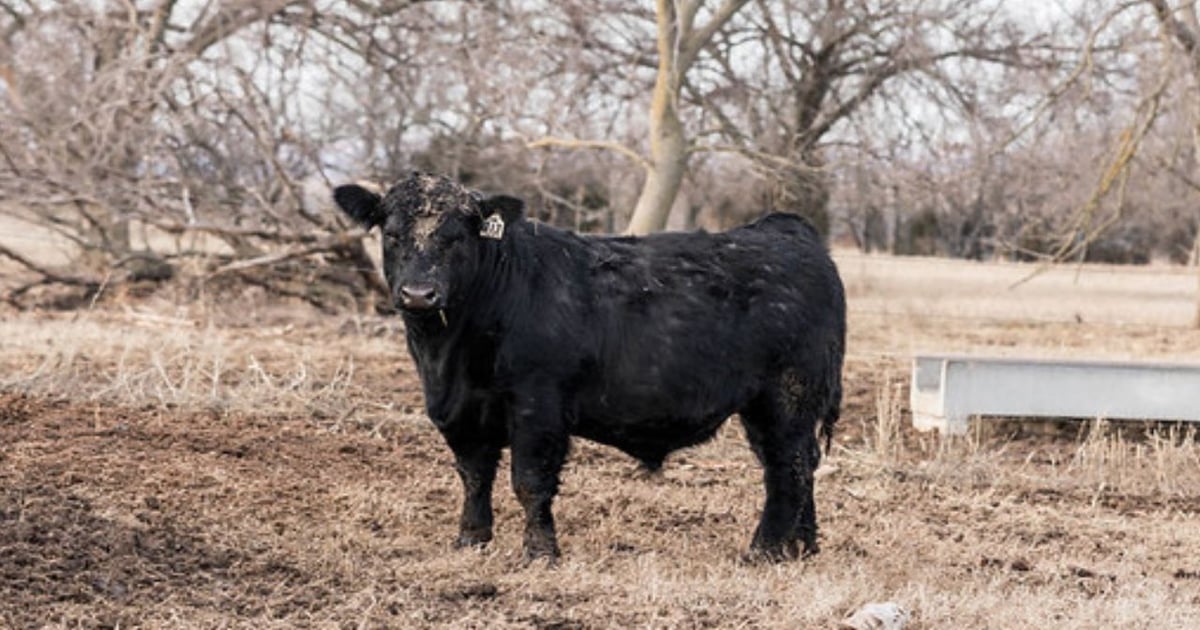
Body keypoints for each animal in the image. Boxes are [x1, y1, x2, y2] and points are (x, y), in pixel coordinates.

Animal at [333, 172, 845, 562]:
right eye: (391, 234)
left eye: (457, 237)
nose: (419, 294)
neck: (449, 355)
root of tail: (784, 229)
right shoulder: (461, 412)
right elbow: (475, 475)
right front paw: (470, 541)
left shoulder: (537, 405)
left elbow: (529, 481)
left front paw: (540, 553)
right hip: (767, 408)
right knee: (798, 465)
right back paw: (803, 546)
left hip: (787, 396)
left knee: (787, 468)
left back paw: (763, 551)